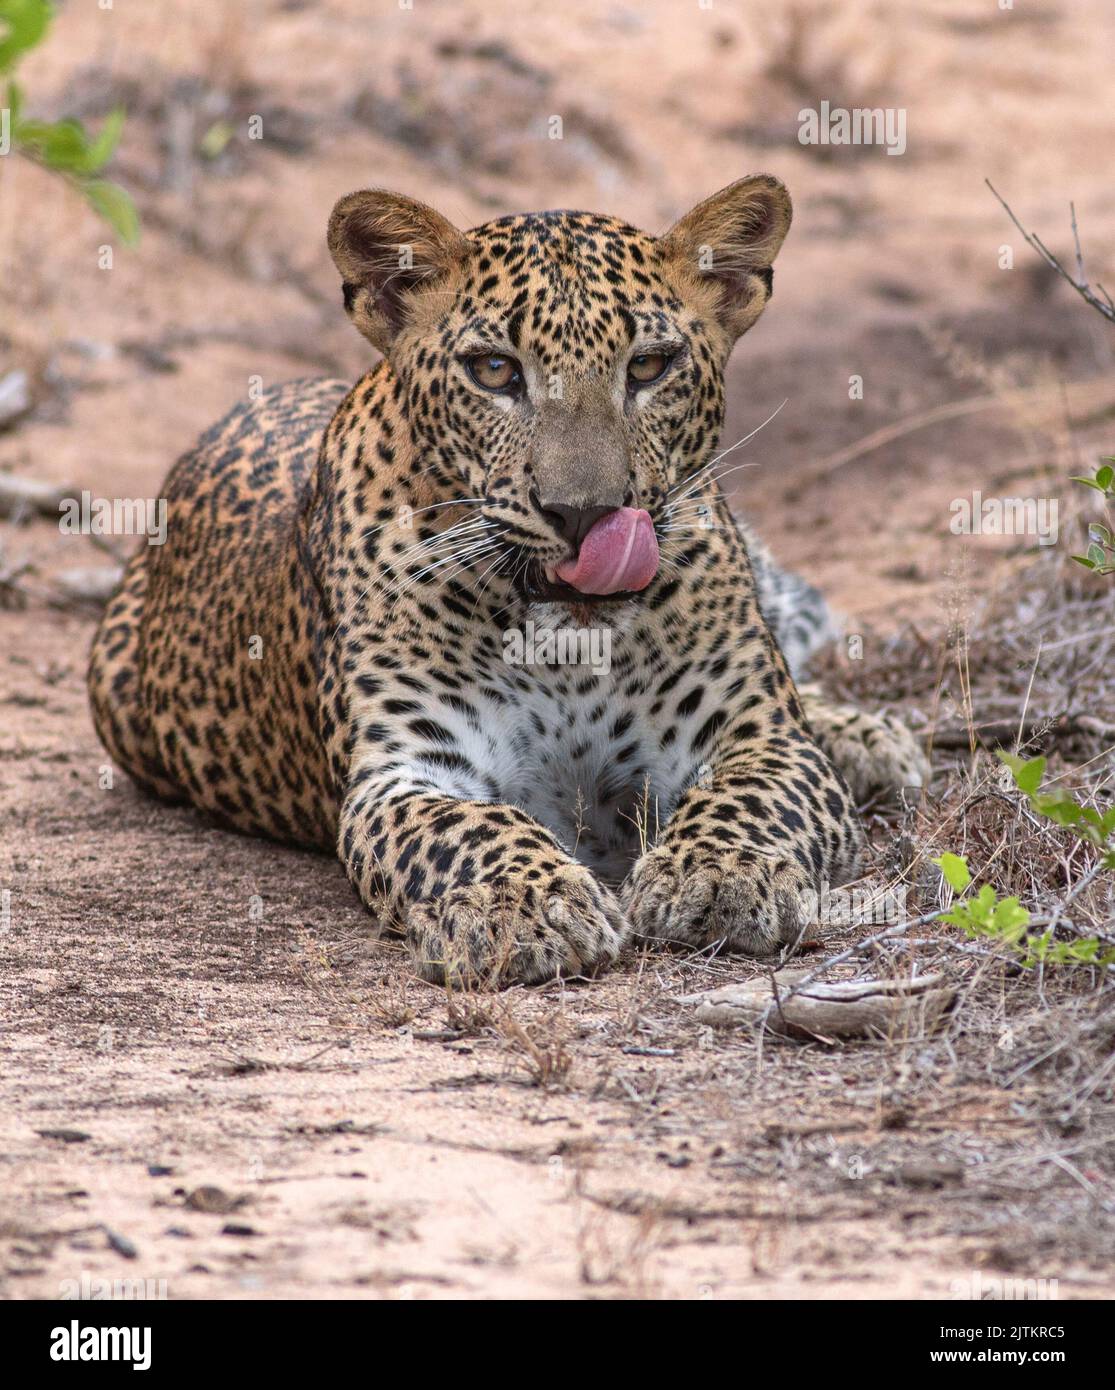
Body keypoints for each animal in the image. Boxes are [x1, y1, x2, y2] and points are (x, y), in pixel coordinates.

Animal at [88, 175, 928, 988]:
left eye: (649, 367)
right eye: (494, 370)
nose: (584, 513)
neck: (567, 653)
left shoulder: (757, 731)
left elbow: (751, 794)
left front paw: (719, 873)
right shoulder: (405, 774)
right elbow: (470, 829)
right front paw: (523, 907)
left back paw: (869, 741)